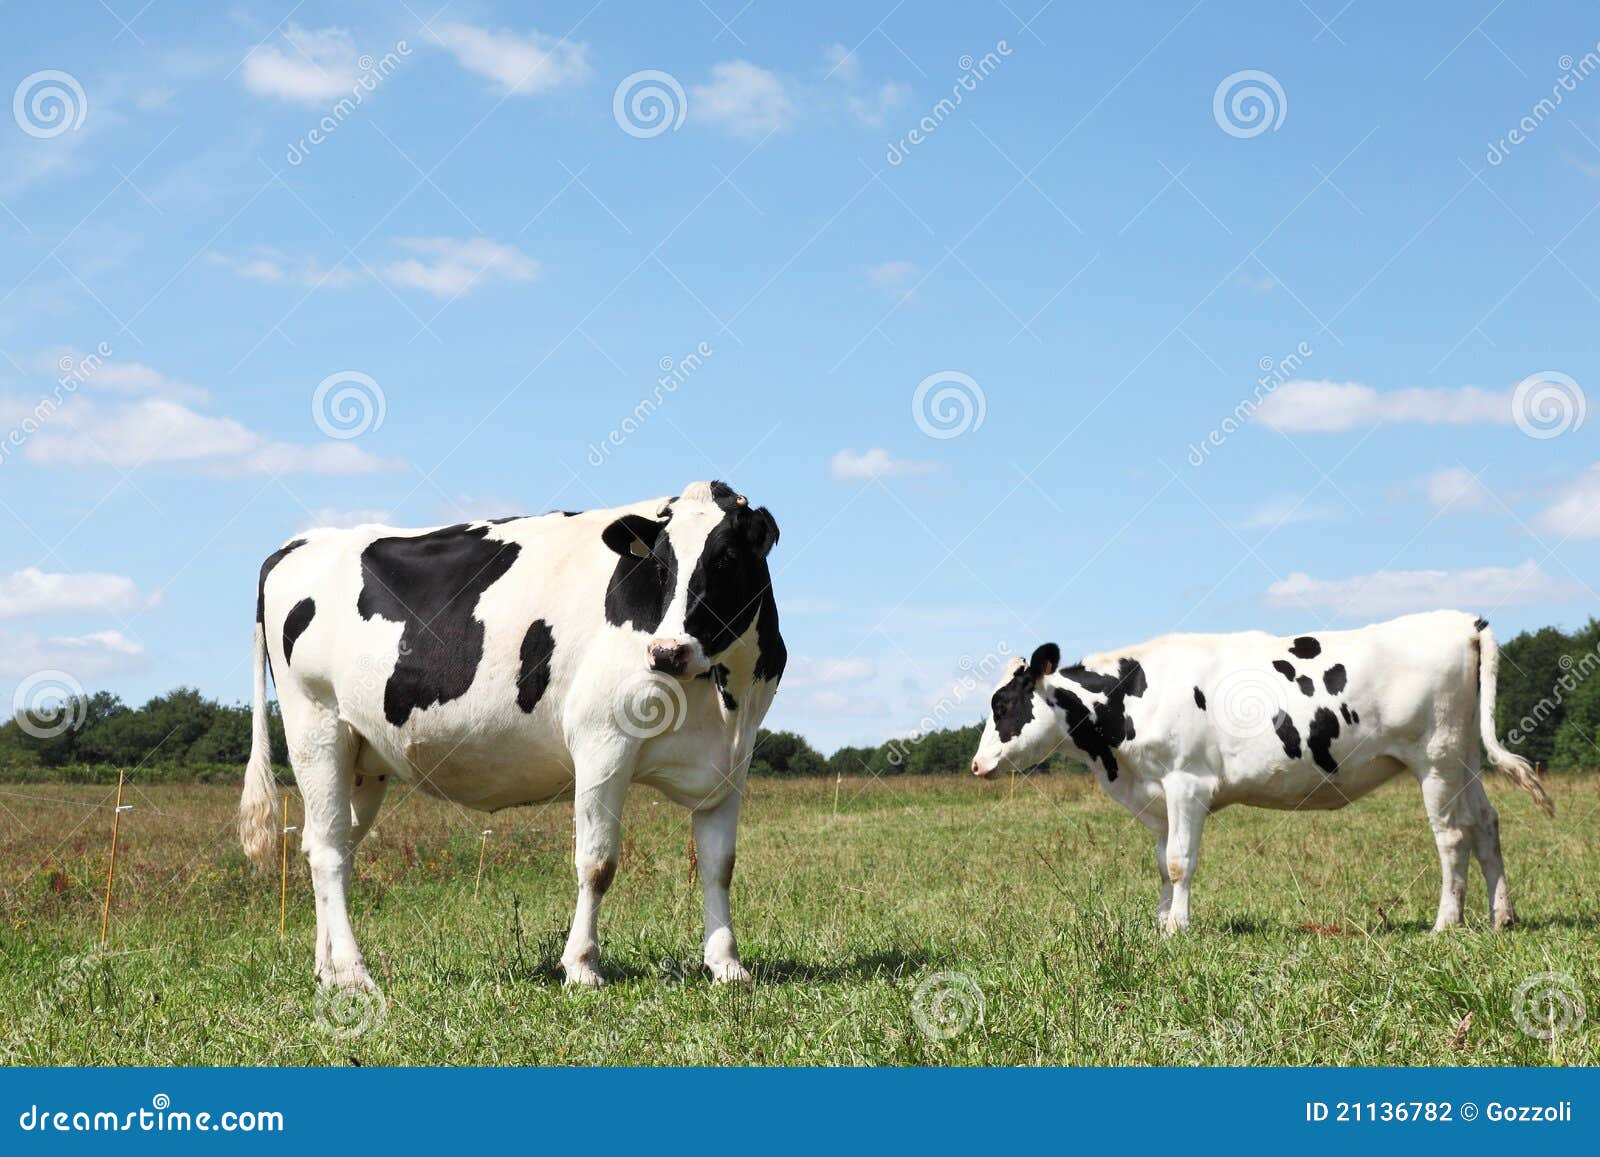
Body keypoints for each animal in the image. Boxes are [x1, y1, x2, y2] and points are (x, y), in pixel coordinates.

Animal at [239, 480, 785, 990]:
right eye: (659, 566)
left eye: (727, 557)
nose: (667, 651)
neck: (721, 697)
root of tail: (298, 543)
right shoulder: (602, 741)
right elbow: (597, 862)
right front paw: (582, 966)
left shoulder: (731, 760)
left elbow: (719, 864)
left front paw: (727, 964)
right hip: (315, 726)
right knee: (329, 852)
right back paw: (353, 974)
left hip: (361, 757)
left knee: (326, 843)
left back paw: (326, 968)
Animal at [969, 611, 1552, 934]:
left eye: (1004, 704)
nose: (978, 764)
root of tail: (1462, 621)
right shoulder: (1157, 793)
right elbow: (1161, 863)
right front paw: (1160, 921)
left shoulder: (1187, 783)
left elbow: (1180, 863)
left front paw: (1177, 928)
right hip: (1463, 757)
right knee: (1486, 824)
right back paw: (1502, 917)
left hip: (1433, 759)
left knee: (1452, 836)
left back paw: (1445, 923)